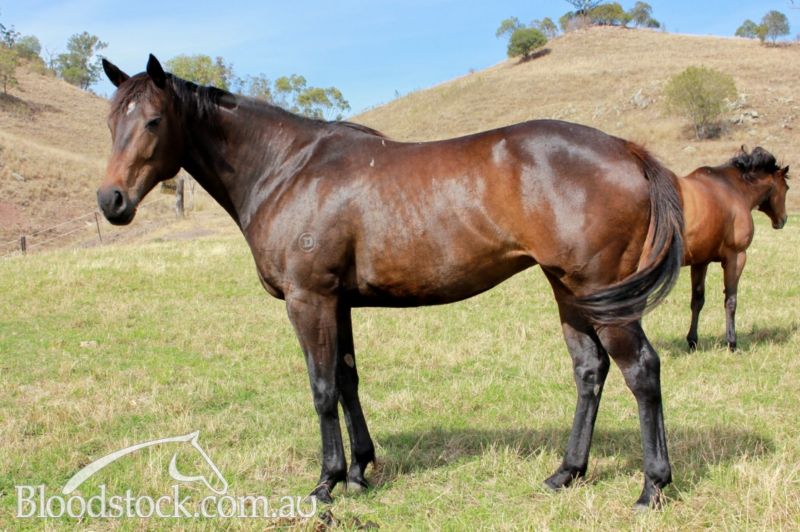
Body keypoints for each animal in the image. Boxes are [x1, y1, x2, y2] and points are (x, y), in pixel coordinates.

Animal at [97, 55, 685, 508]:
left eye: (153, 121)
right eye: (110, 123)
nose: (111, 201)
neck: (287, 168)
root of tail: (629, 150)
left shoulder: (309, 300)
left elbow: (322, 388)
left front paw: (326, 482)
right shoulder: (338, 303)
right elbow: (348, 380)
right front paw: (360, 471)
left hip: (601, 293)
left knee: (641, 370)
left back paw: (652, 488)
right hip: (570, 290)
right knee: (589, 371)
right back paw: (566, 473)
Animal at [679, 147, 789, 352]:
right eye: (786, 188)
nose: (783, 219)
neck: (731, 188)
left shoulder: (700, 262)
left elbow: (697, 301)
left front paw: (692, 341)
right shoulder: (736, 257)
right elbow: (731, 300)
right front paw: (732, 342)